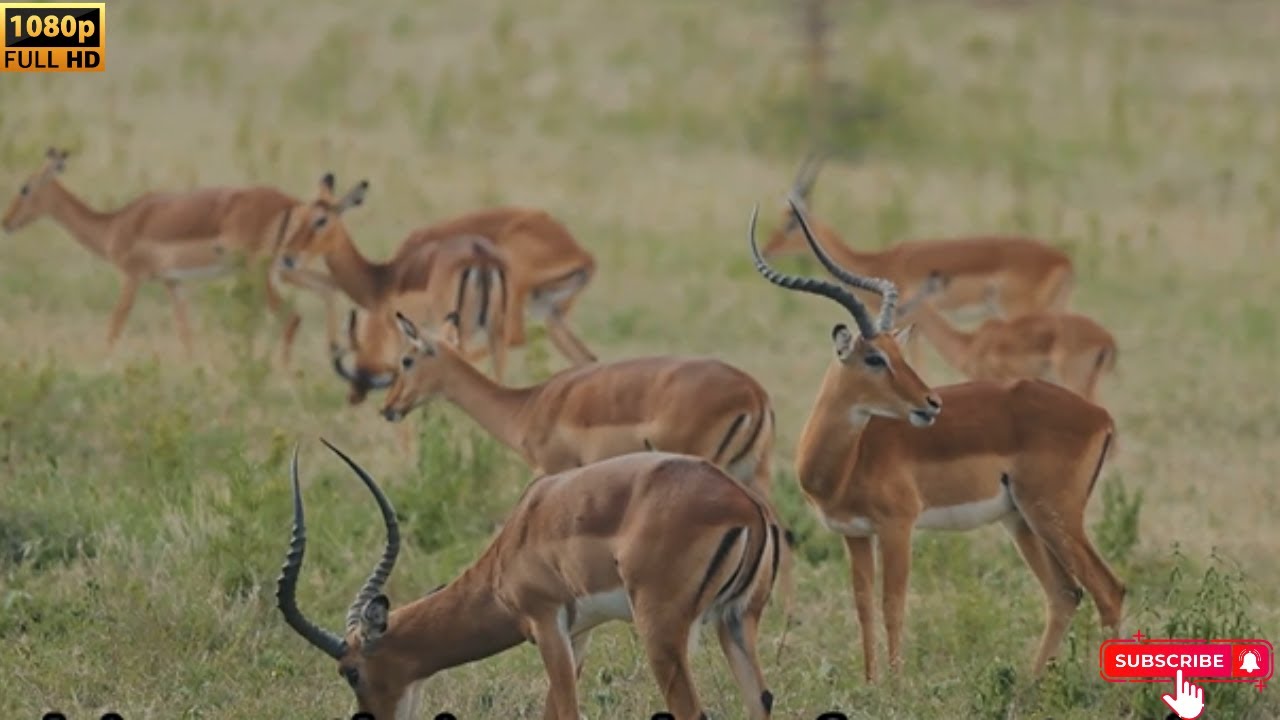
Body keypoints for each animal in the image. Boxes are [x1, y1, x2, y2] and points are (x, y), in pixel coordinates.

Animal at [1, 148, 340, 362]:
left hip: (259, 272)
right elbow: (185, 333)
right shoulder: (173, 283)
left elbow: (116, 324)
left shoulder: (132, 278)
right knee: (328, 290)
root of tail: (292, 203)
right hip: (288, 268)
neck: (115, 225)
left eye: (24, 188)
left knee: (292, 317)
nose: (6, 223)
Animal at [277, 439, 783, 720]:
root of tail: (744, 504)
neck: (518, 535)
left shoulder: (545, 623)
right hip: (736, 622)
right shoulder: (578, 633)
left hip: (661, 632)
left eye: (351, 672)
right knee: (760, 700)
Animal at [278, 174, 598, 370]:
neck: (383, 277)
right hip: (551, 317)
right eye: (296, 217)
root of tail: (583, 255)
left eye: (321, 220)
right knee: (588, 358)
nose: (287, 258)